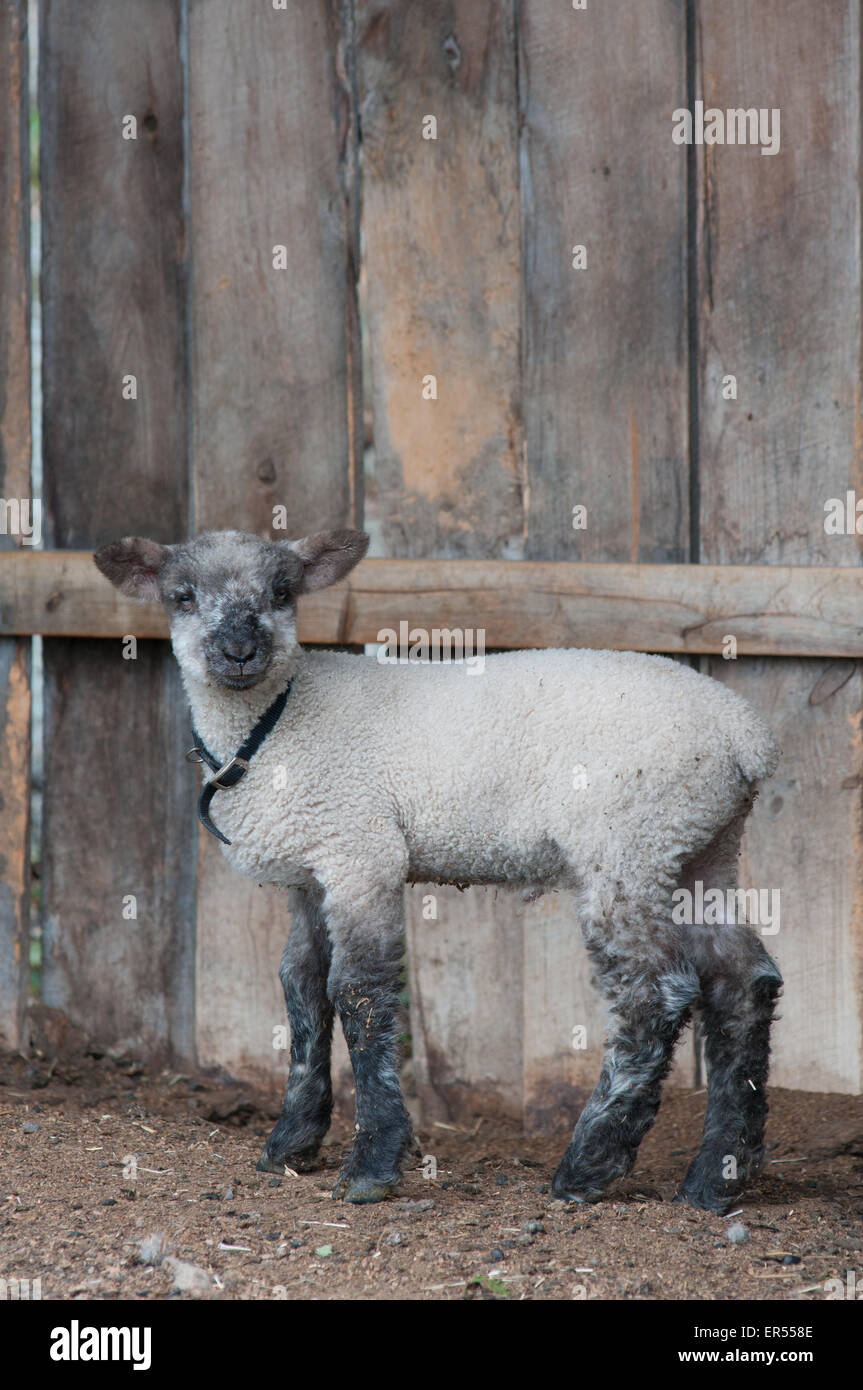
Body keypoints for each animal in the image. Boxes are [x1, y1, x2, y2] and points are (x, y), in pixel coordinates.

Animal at [94, 527, 783, 1211]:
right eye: (181, 596)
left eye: (283, 592)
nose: (238, 652)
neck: (278, 724)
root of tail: (745, 736)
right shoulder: (312, 875)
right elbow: (301, 985)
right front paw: (291, 1143)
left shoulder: (360, 851)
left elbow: (359, 992)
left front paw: (372, 1164)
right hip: (698, 851)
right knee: (745, 982)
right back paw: (718, 1176)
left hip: (625, 846)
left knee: (653, 995)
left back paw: (589, 1165)